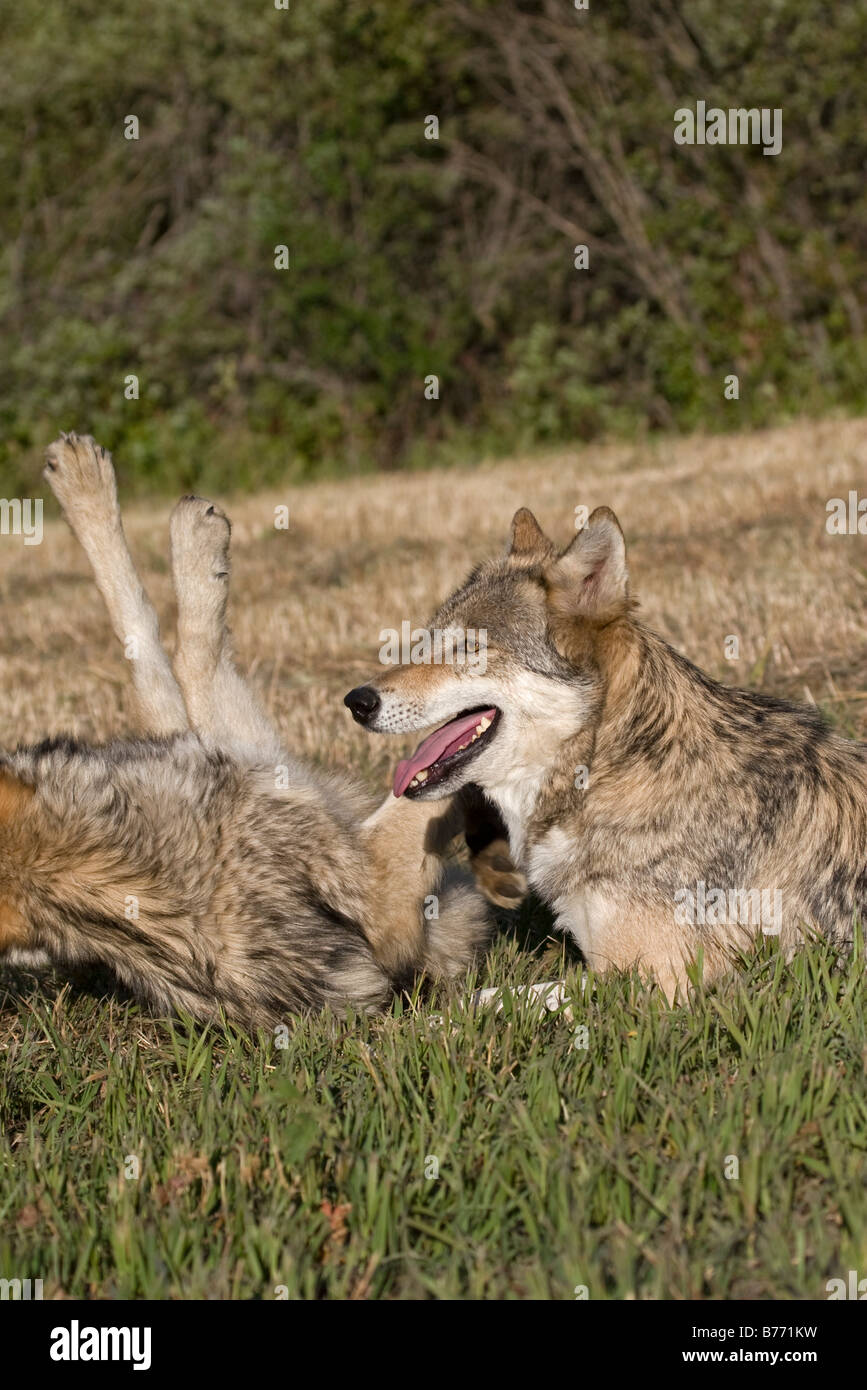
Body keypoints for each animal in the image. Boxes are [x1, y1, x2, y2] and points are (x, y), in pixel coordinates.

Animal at [345, 505, 867, 999]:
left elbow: (481, 1001)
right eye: (426, 640)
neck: (606, 765)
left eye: (470, 648)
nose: (356, 701)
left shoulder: (661, 978)